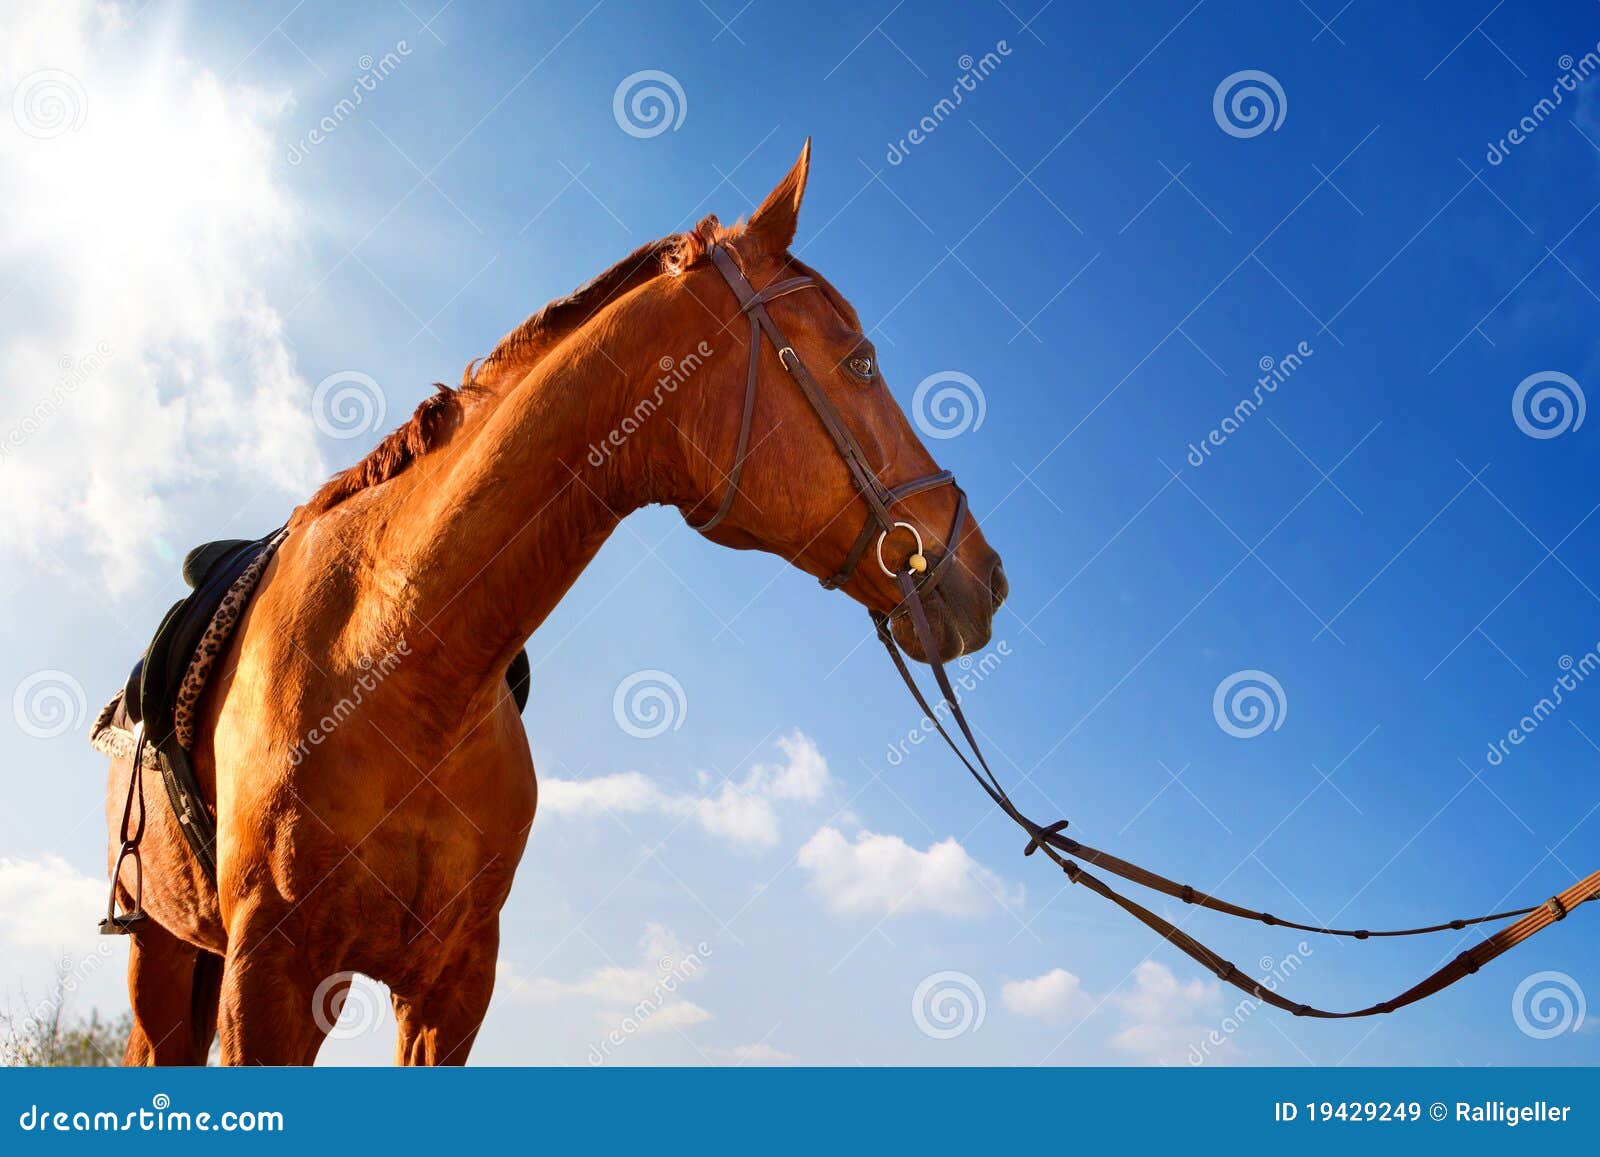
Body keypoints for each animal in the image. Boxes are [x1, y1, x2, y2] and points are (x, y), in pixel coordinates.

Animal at [103, 141, 1008, 1065]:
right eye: (861, 361)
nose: (986, 571)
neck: (396, 657)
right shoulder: (270, 974)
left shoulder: (452, 985)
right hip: (162, 954)